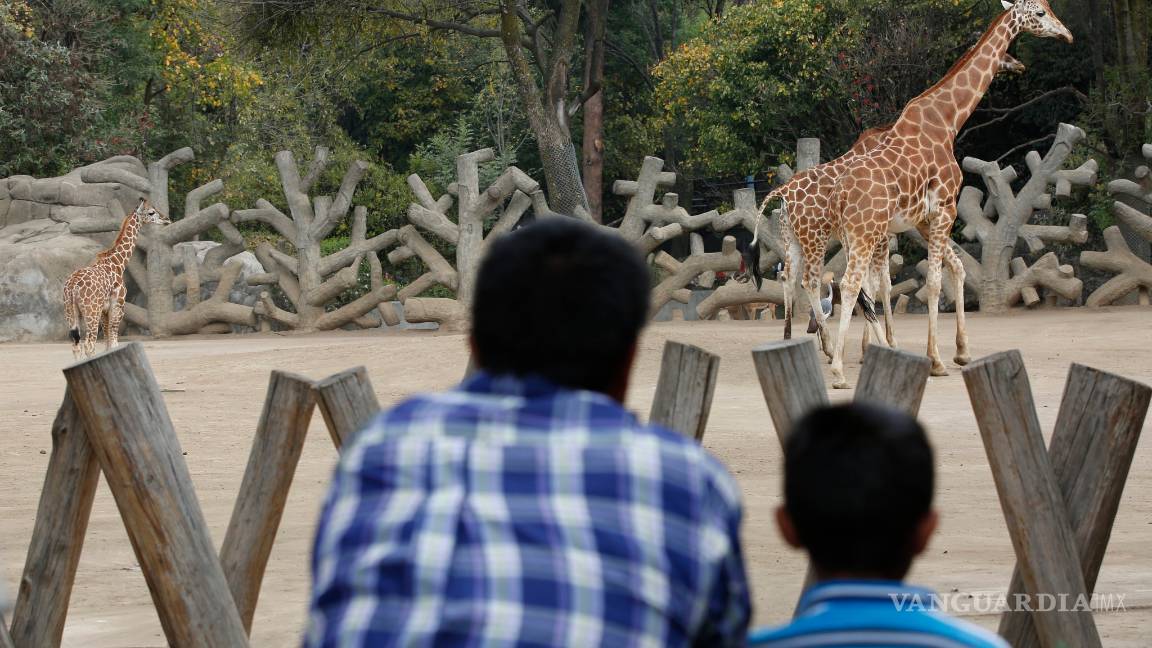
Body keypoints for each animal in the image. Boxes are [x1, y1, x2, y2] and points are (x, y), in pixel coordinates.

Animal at [63, 198, 169, 359]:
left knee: (76, 345)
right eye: (151, 212)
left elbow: (108, 344)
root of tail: (72, 286)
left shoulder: (104, 310)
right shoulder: (118, 305)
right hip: (91, 312)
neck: (118, 263)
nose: (166, 219)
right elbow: (114, 343)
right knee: (89, 344)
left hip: (72, 312)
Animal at [753, 52, 1028, 354]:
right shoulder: (884, 233)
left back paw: (794, 338)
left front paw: (876, 342)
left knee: (788, 276)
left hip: (794, 238)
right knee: (809, 280)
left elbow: (876, 281)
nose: (1018, 64)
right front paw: (884, 342)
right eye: (1008, 56)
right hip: (815, 238)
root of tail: (784, 193)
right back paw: (828, 345)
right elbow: (881, 281)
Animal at [810, 0, 1071, 388]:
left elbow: (955, 269)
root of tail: (839, 195)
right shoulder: (944, 209)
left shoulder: (925, 217)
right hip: (865, 233)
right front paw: (935, 360)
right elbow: (935, 281)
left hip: (854, 234)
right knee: (851, 283)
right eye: (1039, 13)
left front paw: (960, 352)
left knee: (852, 284)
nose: (1066, 34)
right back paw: (841, 368)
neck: (948, 121)